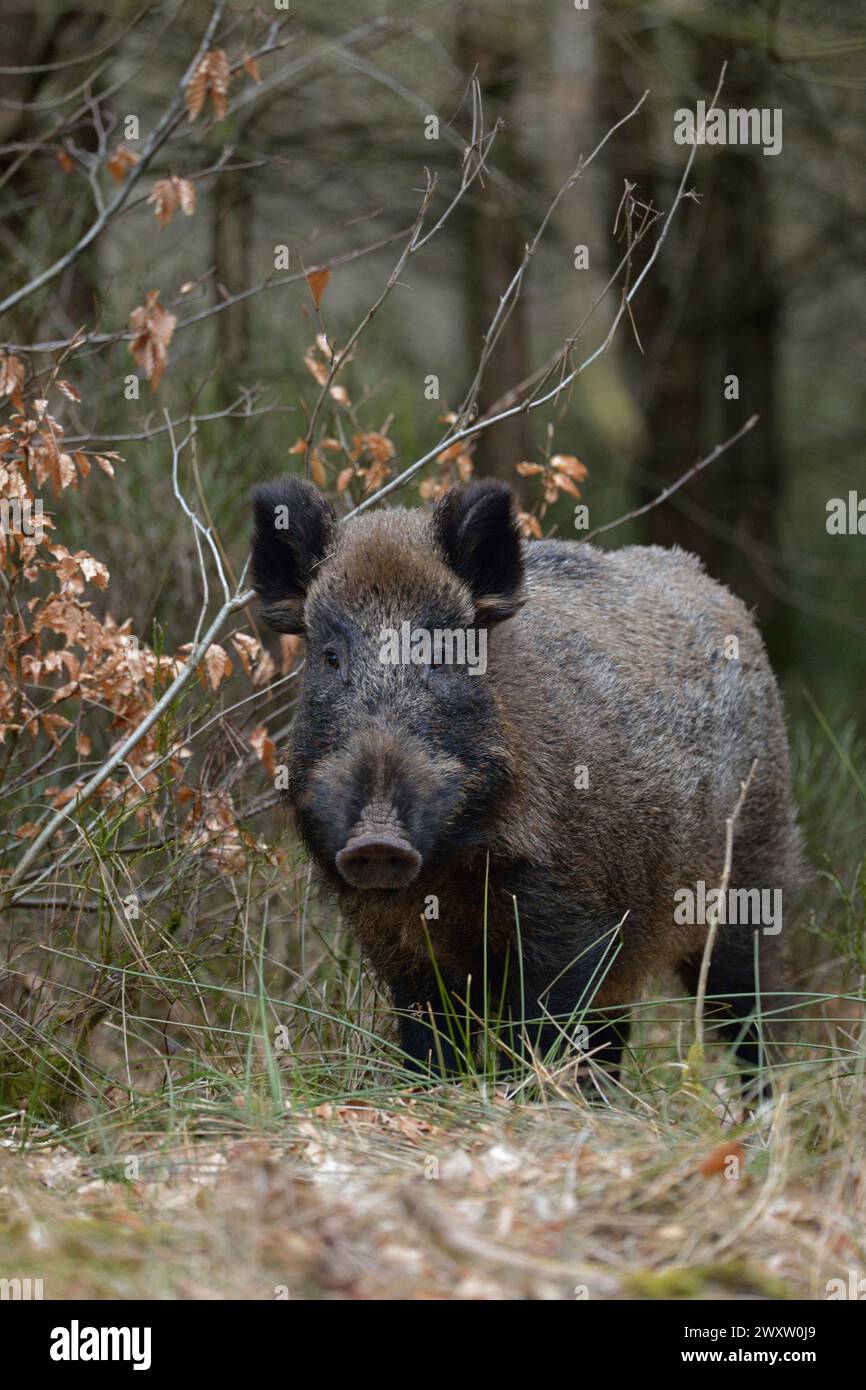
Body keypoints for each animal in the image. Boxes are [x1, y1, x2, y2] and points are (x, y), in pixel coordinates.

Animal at [251, 476, 802, 1080]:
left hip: (751, 878)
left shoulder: (571, 911)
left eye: (444, 657)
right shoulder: (395, 941)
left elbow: (541, 1024)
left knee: (756, 1015)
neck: (449, 869)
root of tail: (719, 592)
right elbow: (431, 1036)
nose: (377, 841)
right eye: (330, 658)